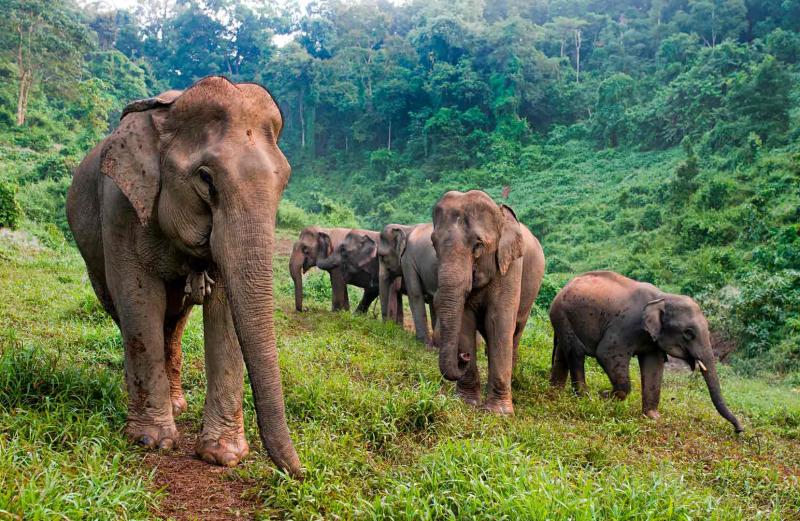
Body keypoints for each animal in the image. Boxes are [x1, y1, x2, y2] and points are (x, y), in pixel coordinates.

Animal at [65, 76, 302, 477]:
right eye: (206, 179)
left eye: (284, 181)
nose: (302, 473)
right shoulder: (119, 206)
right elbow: (138, 298)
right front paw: (151, 441)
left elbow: (224, 308)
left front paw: (223, 455)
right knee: (125, 311)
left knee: (175, 320)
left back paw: (177, 404)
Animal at [432, 190, 545, 414]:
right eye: (433, 243)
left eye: (478, 245)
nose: (463, 356)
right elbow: (465, 320)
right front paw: (467, 402)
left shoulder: (511, 267)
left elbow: (499, 322)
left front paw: (499, 413)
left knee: (514, 334)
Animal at [549, 271, 744, 433]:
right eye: (689, 333)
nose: (739, 429)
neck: (662, 297)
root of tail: (565, 286)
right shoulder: (625, 326)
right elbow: (607, 353)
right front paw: (603, 397)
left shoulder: (653, 340)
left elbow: (654, 366)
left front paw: (653, 417)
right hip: (562, 313)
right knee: (576, 352)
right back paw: (584, 397)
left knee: (563, 352)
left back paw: (556, 391)